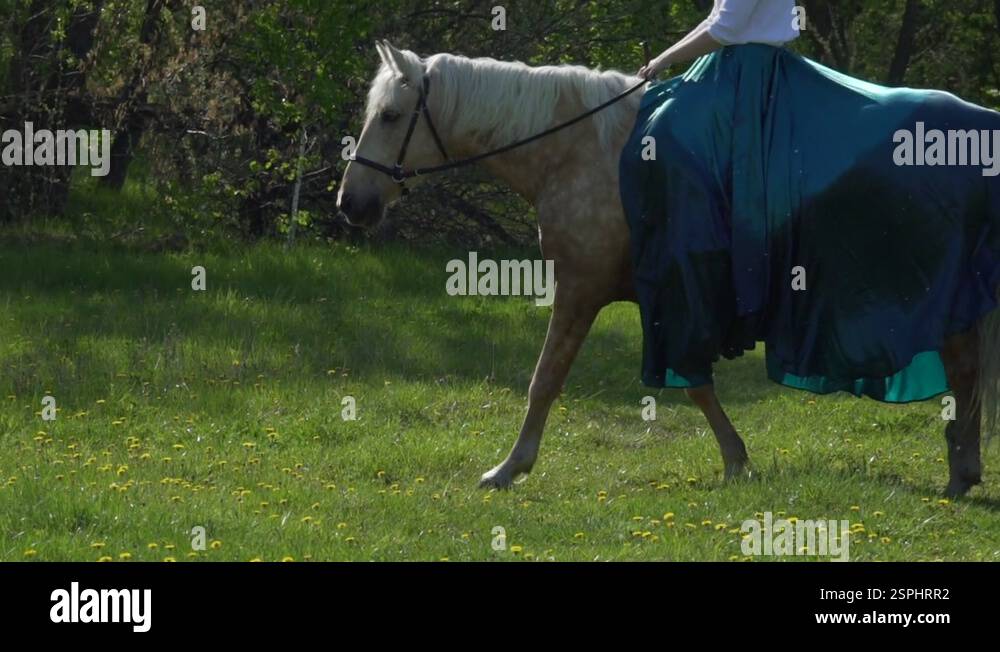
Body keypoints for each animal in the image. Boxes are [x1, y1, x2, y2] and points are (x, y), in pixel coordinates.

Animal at [337, 40, 999, 497]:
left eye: (391, 115)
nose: (350, 203)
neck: (578, 150)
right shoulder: (659, 298)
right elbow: (697, 383)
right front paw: (736, 460)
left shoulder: (583, 287)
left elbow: (545, 379)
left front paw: (509, 468)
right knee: (967, 365)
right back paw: (962, 466)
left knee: (964, 364)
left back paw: (961, 470)